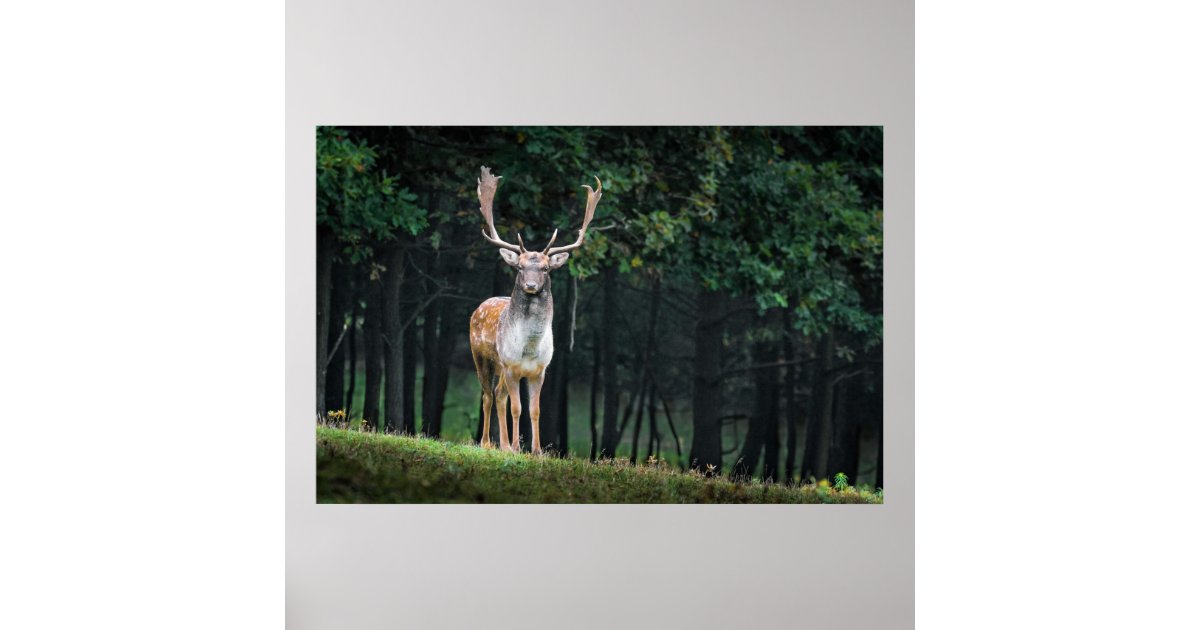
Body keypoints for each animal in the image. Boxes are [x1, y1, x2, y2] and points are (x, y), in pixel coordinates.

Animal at [469, 166, 601, 454]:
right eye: (519, 267)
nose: (530, 285)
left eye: (546, 268)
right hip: (482, 358)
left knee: (498, 395)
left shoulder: (540, 370)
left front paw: (537, 450)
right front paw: (517, 447)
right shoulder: (511, 366)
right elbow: (517, 408)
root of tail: (479, 307)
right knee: (487, 395)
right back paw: (487, 443)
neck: (528, 348)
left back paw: (502, 445)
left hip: (501, 369)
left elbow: (535, 410)